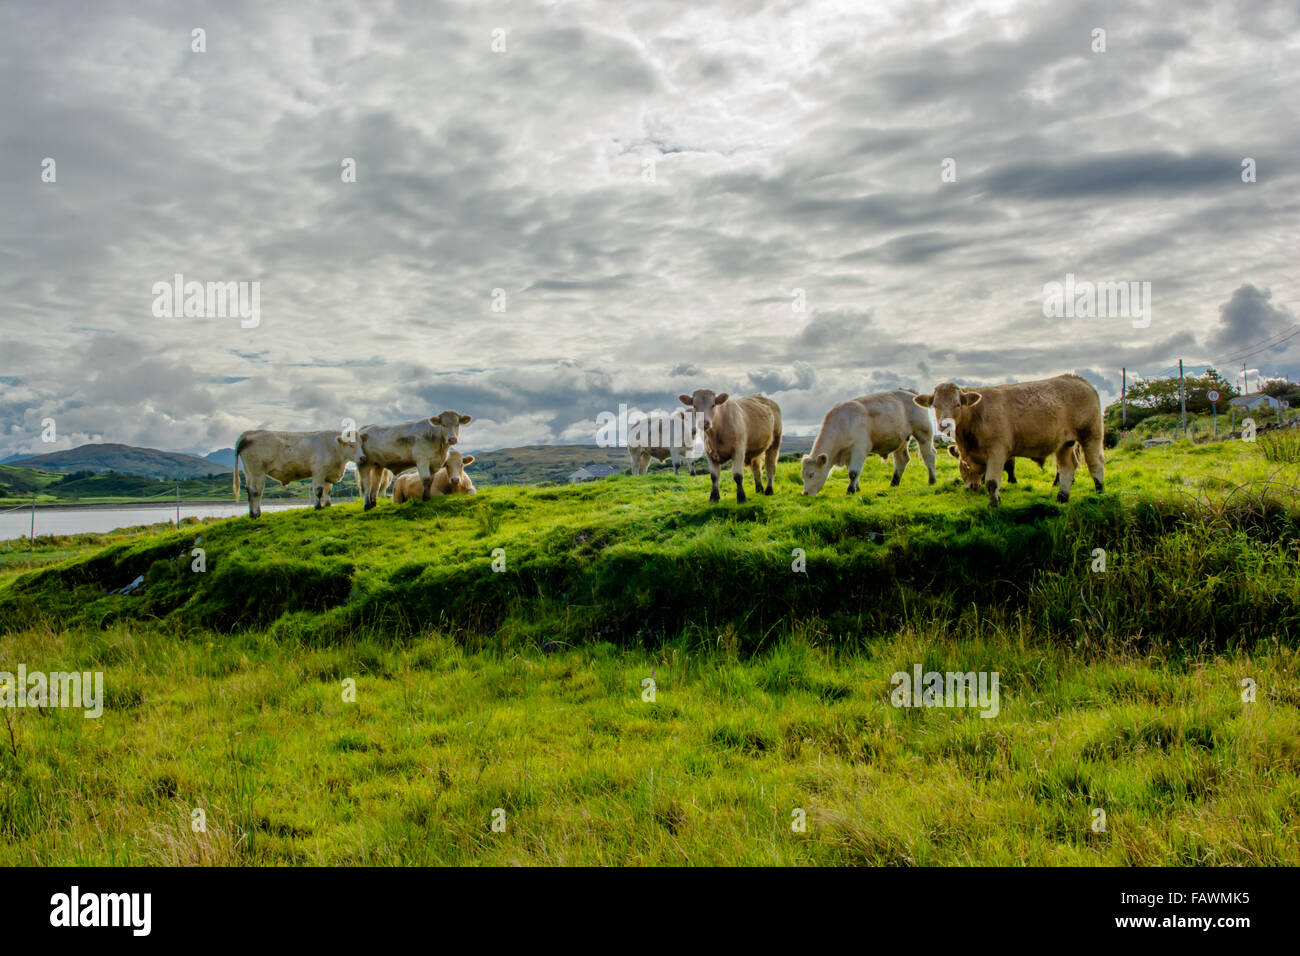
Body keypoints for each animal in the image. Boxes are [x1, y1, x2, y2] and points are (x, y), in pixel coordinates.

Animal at [800, 389, 937, 495]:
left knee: (929, 454)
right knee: (901, 460)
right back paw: (894, 483)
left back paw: (932, 480)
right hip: (901, 441)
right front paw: (857, 488)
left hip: (923, 433)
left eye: (811, 474)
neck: (842, 423)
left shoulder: (859, 449)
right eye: (803, 475)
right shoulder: (848, 454)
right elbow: (851, 471)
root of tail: (910, 392)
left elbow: (853, 473)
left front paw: (850, 490)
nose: (805, 493)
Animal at [914, 374, 1104, 506]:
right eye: (935, 405)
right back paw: (1062, 497)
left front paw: (994, 504)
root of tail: (1078, 380)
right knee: (1066, 467)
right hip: (1065, 443)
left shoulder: (997, 451)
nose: (945, 424)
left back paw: (1100, 492)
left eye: (958, 404)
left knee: (1096, 463)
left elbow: (992, 481)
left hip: (1091, 434)